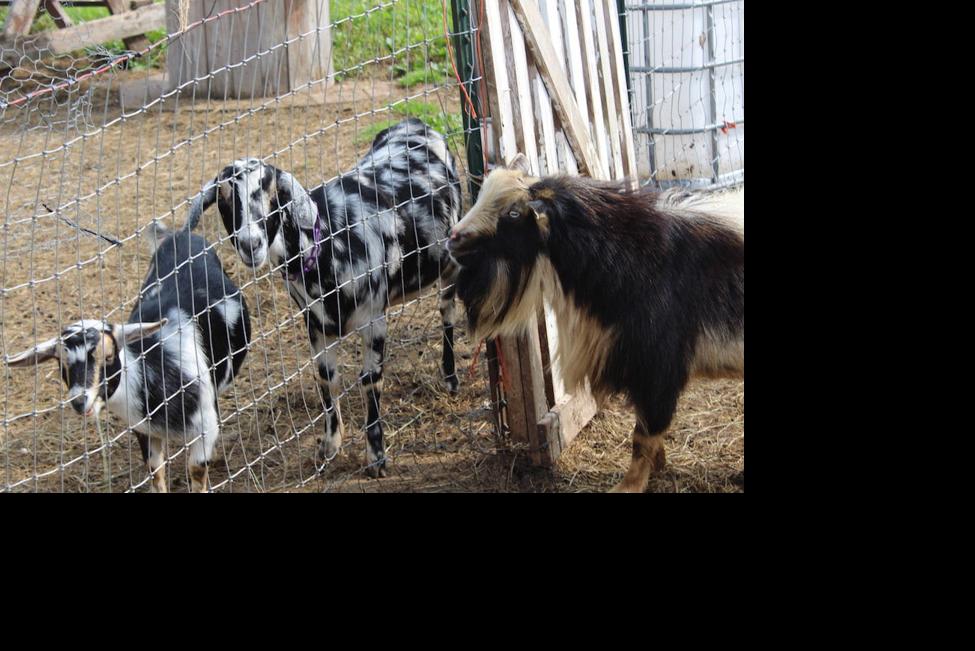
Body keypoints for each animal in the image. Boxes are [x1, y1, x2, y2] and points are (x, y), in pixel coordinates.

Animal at [5, 220, 251, 492]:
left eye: (109, 355)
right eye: (62, 365)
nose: (80, 401)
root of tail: (182, 234)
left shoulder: (204, 427)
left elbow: (196, 471)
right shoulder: (144, 430)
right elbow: (155, 471)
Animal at [183, 118, 462, 477]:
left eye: (273, 193)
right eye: (224, 198)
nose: (250, 244)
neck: (331, 240)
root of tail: (412, 121)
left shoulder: (374, 319)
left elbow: (370, 380)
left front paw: (376, 457)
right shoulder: (315, 324)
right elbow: (326, 379)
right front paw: (330, 446)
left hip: (450, 260)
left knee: (447, 311)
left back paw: (451, 378)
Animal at [446, 154, 743, 493]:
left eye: (513, 213)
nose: (453, 238)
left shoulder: (659, 368)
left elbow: (644, 434)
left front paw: (629, 485)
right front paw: (658, 467)